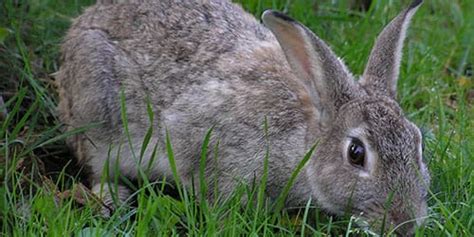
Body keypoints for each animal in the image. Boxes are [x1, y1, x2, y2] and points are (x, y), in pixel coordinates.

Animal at [56, 0, 430, 234]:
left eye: (417, 143)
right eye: (356, 153)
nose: (406, 225)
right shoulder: (203, 144)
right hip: (96, 111)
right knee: (97, 167)